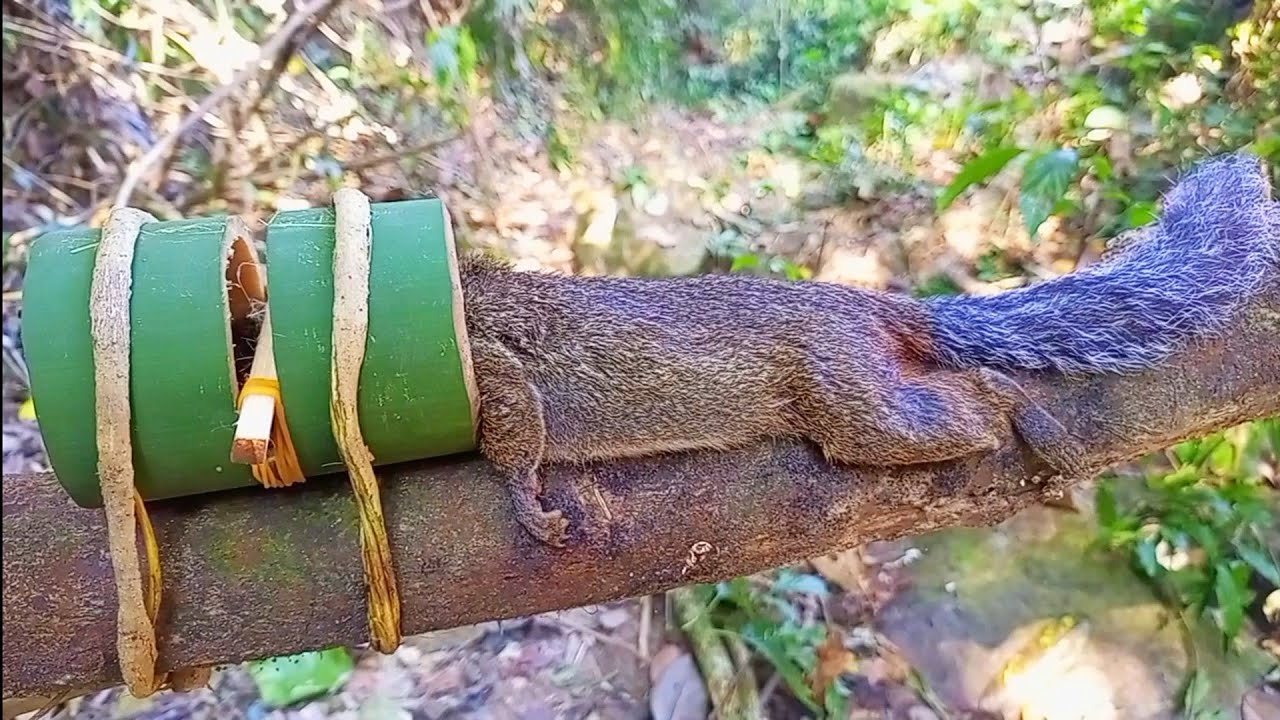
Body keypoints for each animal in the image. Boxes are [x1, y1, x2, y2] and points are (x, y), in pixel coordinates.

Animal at [459, 152, 1279, 547]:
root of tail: (872, 304)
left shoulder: (491, 355)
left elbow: (515, 434)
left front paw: (528, 505)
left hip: (856, 405)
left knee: (978, 400)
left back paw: (1028, 422)